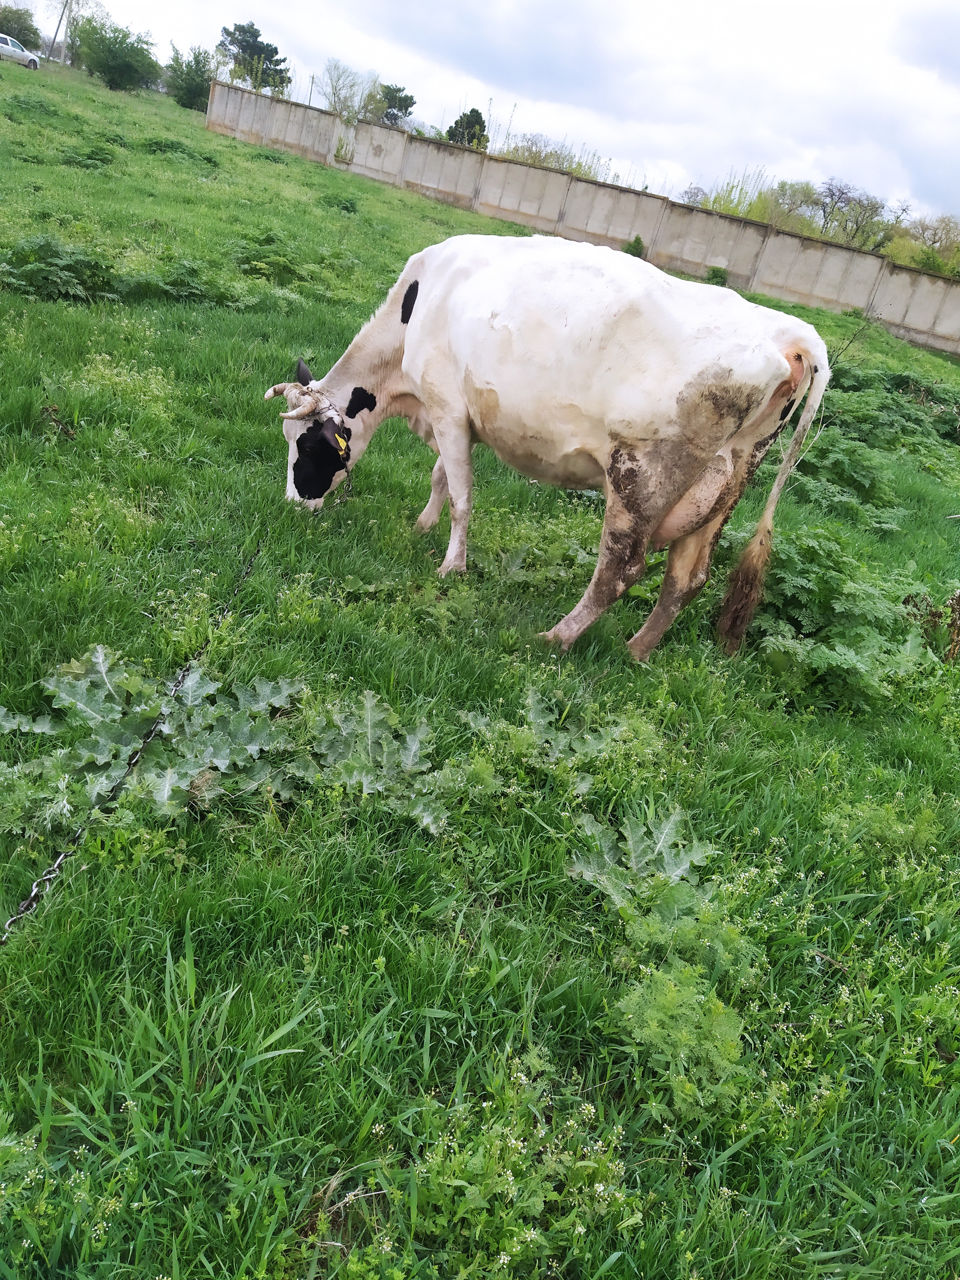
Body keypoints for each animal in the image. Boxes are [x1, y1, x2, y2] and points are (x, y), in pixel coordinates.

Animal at [265, 234, 829, 660]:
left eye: (309, 448)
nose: (293, 505)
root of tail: (788, 332)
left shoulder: (447, 407)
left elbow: (462, 496)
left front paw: (451, 565)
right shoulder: (457, 417)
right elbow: (441, 477)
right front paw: (421, 526)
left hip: (642, 476)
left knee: (621, 570)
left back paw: (557, 637)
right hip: (724, 483)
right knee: (687, 579)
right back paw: (636, 650)